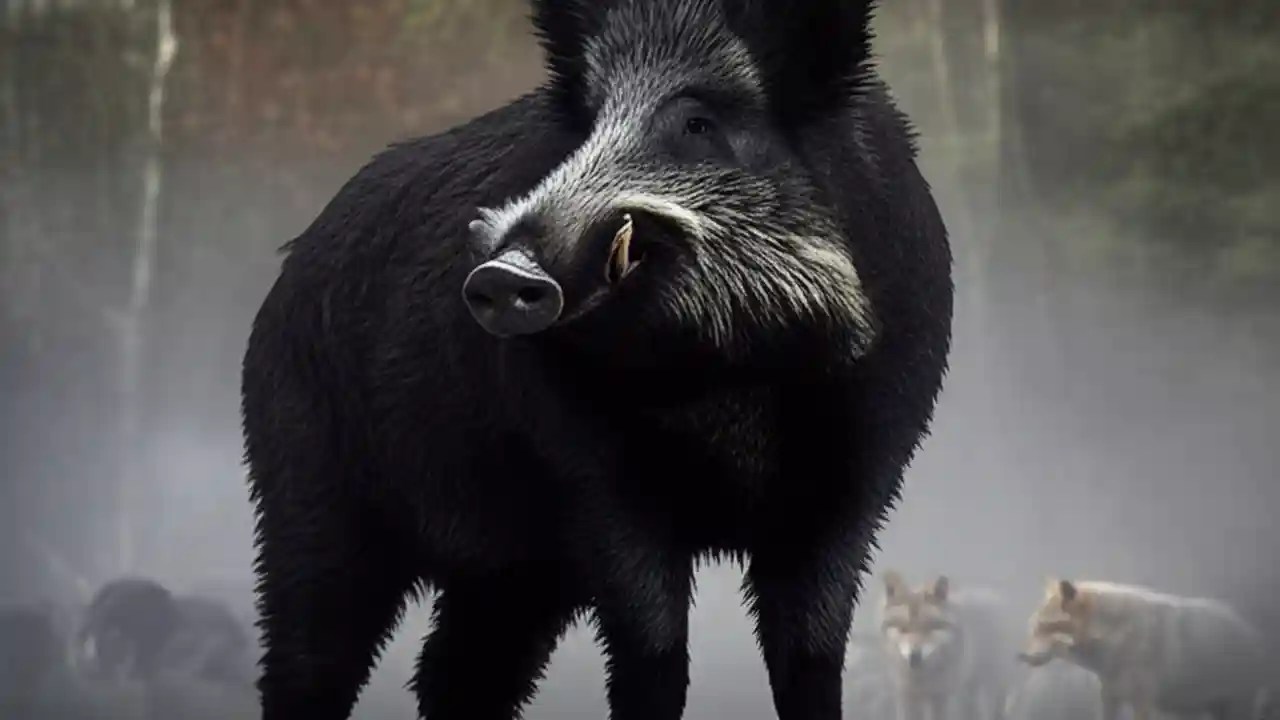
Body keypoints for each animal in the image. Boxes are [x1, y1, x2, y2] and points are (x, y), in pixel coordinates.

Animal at [240, 1, 953, 718]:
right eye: (588, 122)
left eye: (698, 123)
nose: (500, 273)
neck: (731, 376)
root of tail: (286, 272)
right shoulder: (597, 478)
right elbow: (654, 654)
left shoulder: (859, 483)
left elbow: (811, 658)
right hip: (306, 487)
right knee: (309, 659)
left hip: (513, 571)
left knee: (455, 671)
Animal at [878, 572, 1012, 720]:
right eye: (903, 629)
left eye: (930, 628)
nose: (915, 656)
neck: (921, 677)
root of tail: (991, 594)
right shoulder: (906, 697)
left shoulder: (939, 698)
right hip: (969, 689)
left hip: (993, 685)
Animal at [1018, 579, 1271, 720]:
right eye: (1033, 628)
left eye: (1046, 627)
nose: (1020, 656)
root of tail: (1252, 631)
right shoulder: (1109, 698)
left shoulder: (1144, 703)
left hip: (1236, 707)